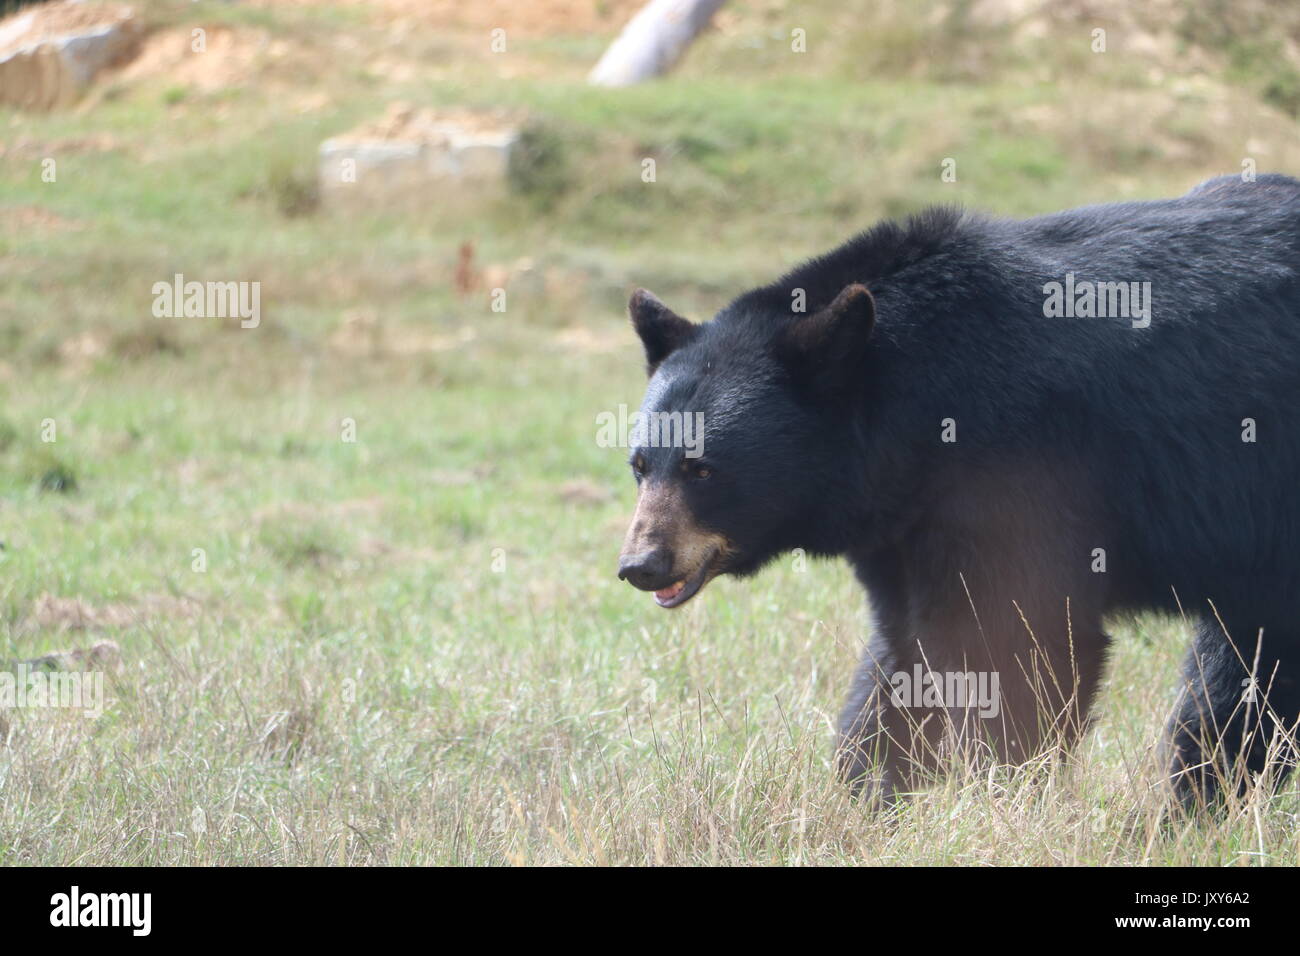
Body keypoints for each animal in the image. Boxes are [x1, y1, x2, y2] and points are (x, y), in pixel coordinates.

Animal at [617, 173, 1300, 808]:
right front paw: (864, 796)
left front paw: (997, 800)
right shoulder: (902, 525)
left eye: (703, 469)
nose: (641, 564)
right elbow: (902, 655)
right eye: (641, 464)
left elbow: (1017, 645)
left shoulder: (1022, 471)